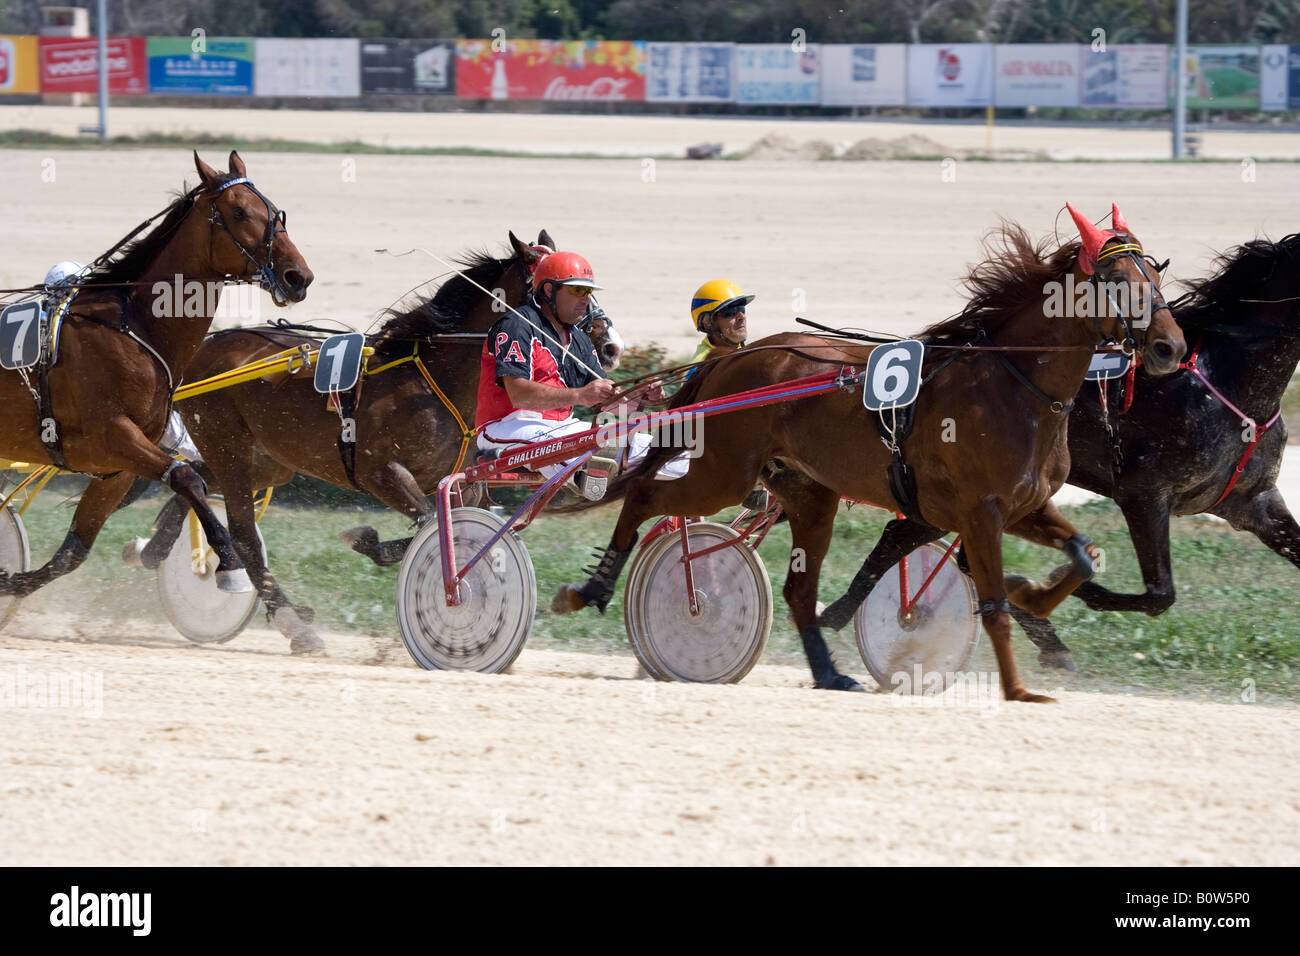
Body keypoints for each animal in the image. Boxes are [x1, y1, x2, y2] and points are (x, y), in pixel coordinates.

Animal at [0, 151, 312, 608]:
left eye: (274, 211)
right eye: (239, 212)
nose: (298, 276)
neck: (136, 327)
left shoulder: (115, 467)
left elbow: (72, 552)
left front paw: (10, 582)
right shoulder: (113, 434)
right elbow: (187, 478)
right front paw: (229, 566)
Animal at [125, 230, 625, 653]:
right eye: (571, 289)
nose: (611, 345)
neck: (434, 380)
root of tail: (204, 349)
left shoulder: (465, 485)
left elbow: (451, 526)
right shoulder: (379, 472)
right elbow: (426, 523)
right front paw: (372, 544)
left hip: (265, 459)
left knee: (193, 483)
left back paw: (154, 550)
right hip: (228, 445)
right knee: (243, 533)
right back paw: (292, 624)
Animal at [552, 205, 1187, 702]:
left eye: (1154, 273)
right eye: (1116, 278)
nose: (1170, 346)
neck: (1013, 385)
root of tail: (731, 360)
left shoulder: (1023, 507)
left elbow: (1084, 554)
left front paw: (1031, 591)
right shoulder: (980, 513)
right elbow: (993, 606)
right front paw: (1018, 688)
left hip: (809, 494)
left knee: (798, 591)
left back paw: (831, 674)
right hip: (723, 473)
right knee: (643, 494)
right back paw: (588, 590)